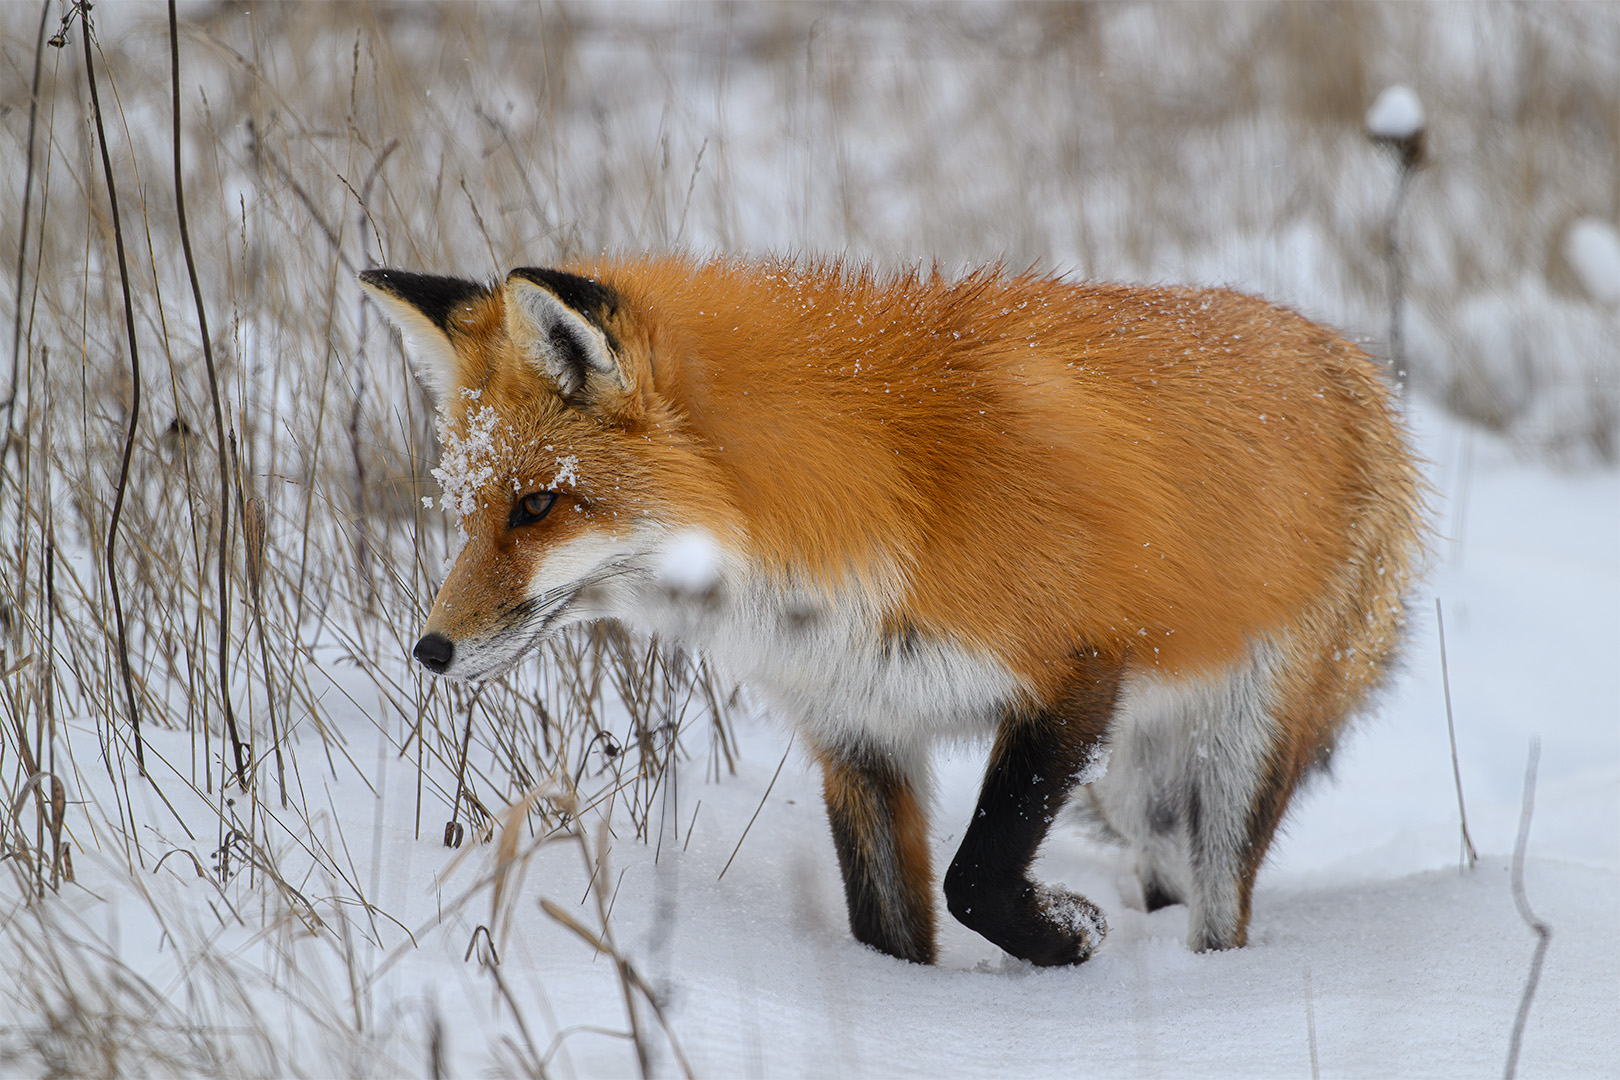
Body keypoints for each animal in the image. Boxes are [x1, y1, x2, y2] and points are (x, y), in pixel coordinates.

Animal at [359, 256, 1424, 967]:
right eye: (467, 510)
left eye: (538, 506)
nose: (431, 650)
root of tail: (1354, 361)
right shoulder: (858, 723)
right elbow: (888, 926)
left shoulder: (1074, 668)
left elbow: (976, 878)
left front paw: (1069, 938)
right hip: (1138, 785)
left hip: (1238, 749)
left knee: (1218, 906)